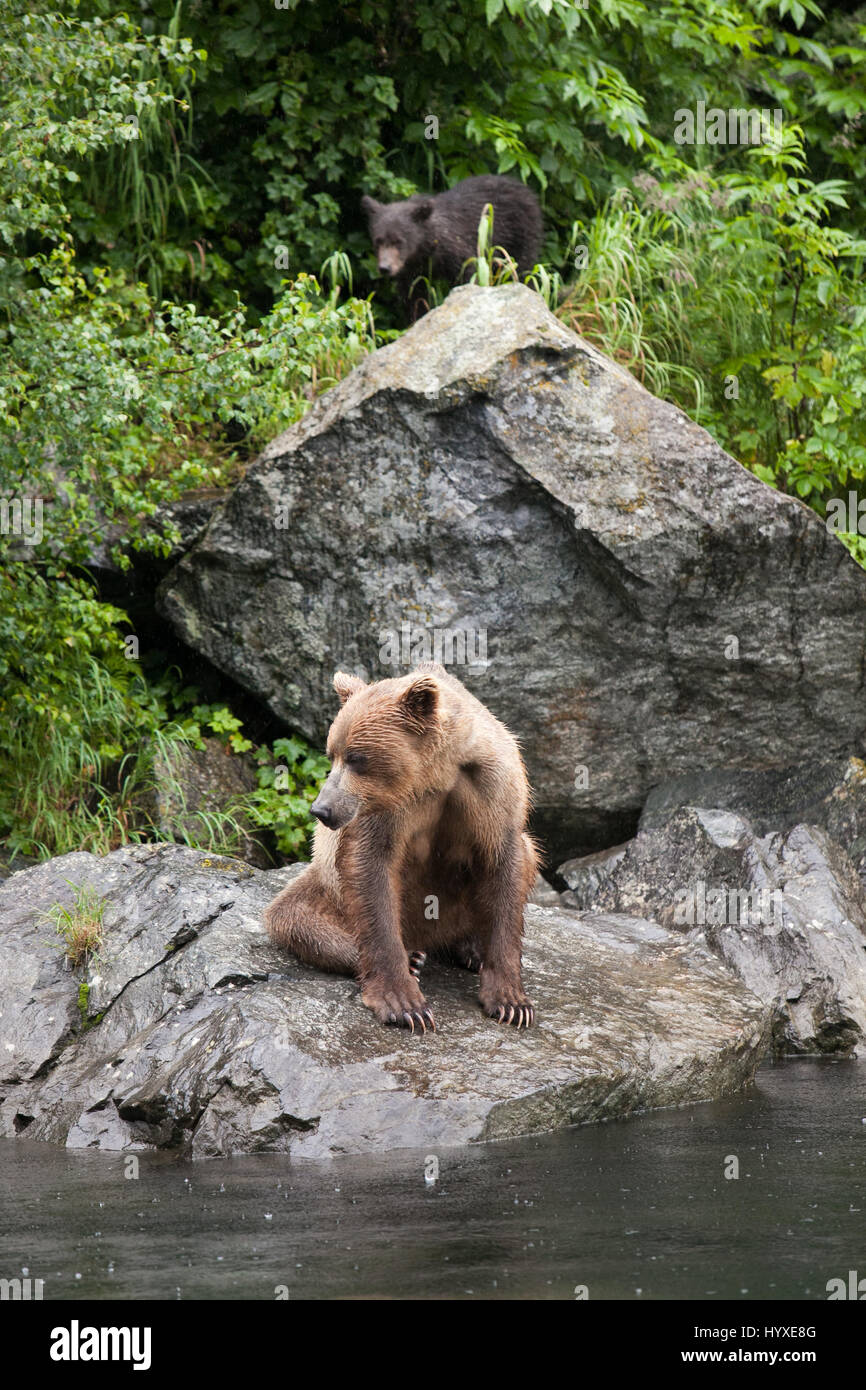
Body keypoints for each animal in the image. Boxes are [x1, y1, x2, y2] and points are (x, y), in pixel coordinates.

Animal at [263, 662, 539, 1033]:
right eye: (331, 754)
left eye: (356, 758)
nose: (321, 810)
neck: (439, 776)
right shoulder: (386, 809)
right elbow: (372, 874)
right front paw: (406, 1005)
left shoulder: (492, 792)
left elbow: (504, 871)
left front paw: (512, 1002)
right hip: (326, 885)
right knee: (292, 916)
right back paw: (414, 957)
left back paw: (471, 948)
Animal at [361, 174, 543, 321]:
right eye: (378, 240)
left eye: (399, 241)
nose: (385, 268)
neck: (426, 249)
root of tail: (524, 188)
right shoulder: (411, 271)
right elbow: (413, 297)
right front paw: (416, 318)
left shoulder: (456, 251)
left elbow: (467, 275)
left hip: (519, 235)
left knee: (522, 269)